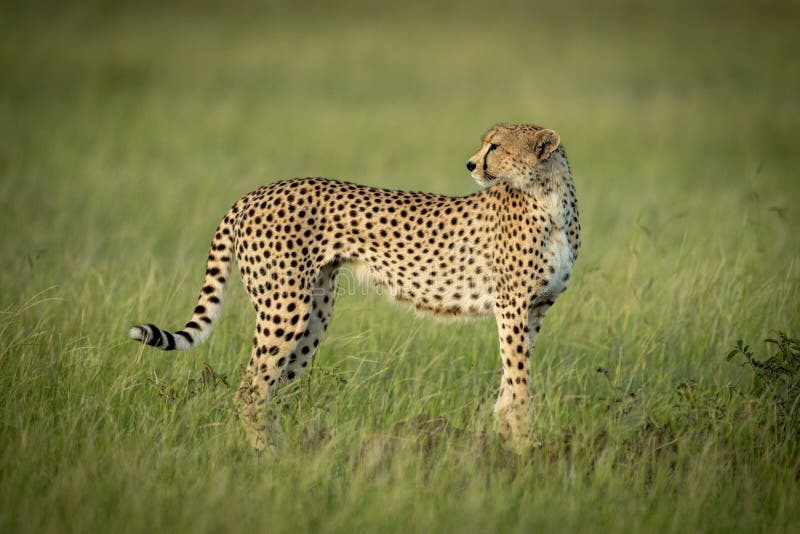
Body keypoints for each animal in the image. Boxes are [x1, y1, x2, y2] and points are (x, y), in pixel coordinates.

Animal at [127, 123, 581, 451]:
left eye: (496, 146)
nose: (470, 164)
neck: (548, 198)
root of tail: (255, 192)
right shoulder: (512, 305)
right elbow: (519, 381)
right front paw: (525, 448)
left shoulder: (535, 308)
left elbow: (511, 380)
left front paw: (507, 443)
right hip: (285, 308)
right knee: (250, 392)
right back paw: (266, 459)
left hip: (315, 310)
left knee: (272, 389)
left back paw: (286, 456)